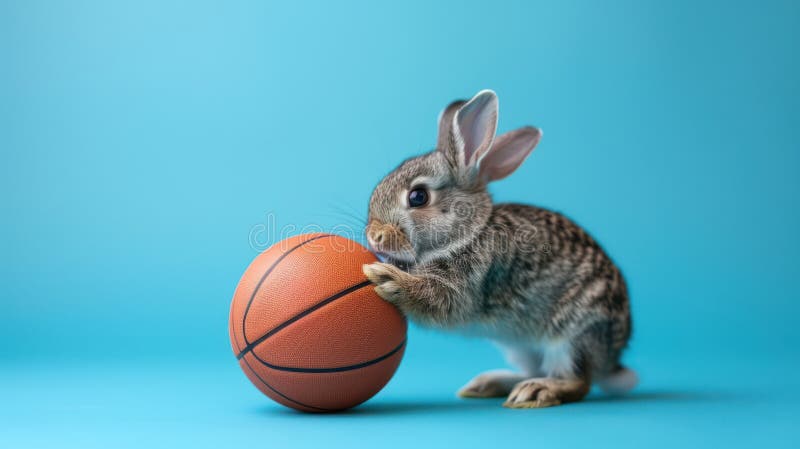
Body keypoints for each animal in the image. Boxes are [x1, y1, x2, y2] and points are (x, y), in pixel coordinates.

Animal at [361, 90, 636, 408]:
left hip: (572, 336)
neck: (469, 233)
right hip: (523, 347)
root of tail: (612, 360)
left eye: (418, 197)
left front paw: (387, 278)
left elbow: (434, 299)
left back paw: (536, 391)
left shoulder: (465, 284)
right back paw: (490, 384)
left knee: (577, 382)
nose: (374, 236)